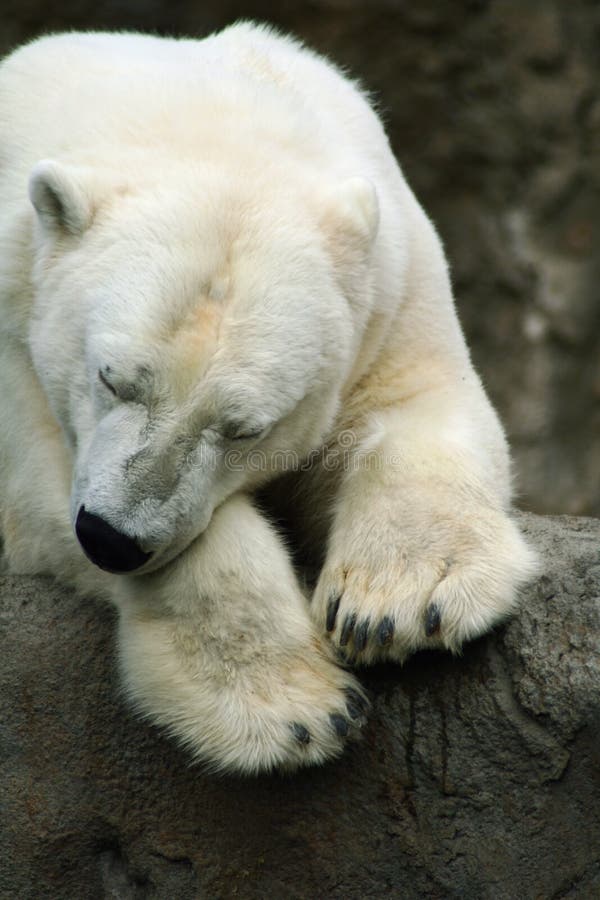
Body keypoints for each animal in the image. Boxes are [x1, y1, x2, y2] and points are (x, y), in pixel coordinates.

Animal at [0, 23, 538, 774]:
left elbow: (420, 400)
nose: (113, 539)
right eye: (112, 378)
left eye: (244, 429)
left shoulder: (389, 279)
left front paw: (399, 606)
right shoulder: (15, 310)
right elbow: (41, 481)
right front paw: (299, 709)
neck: (207, 122)